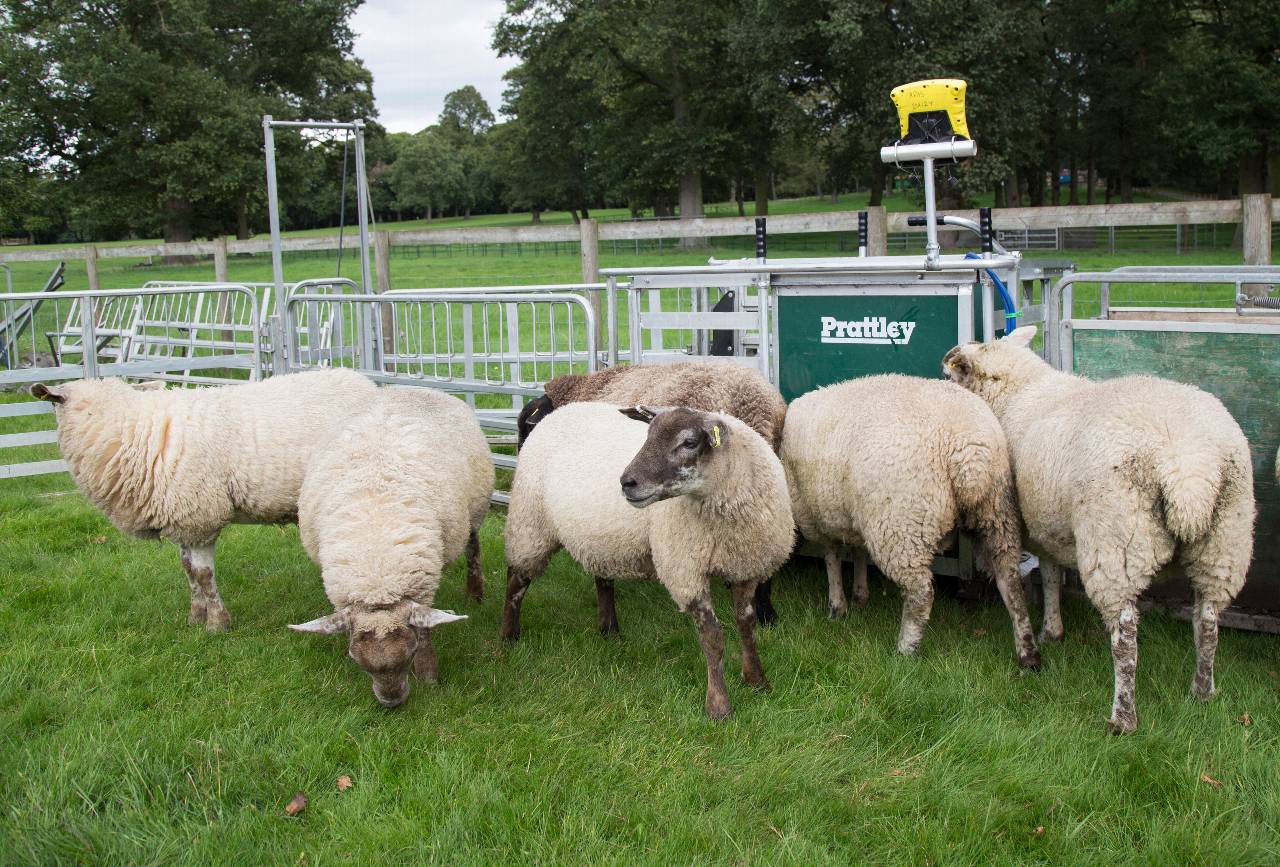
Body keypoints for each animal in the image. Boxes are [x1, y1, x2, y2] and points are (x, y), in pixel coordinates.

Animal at [29, 370, 378, 631]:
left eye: (56, 403)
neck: (132, 428)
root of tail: (365, 383)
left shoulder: (199, 515)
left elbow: (202, 575)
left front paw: (217, 624)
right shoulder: (181, 518)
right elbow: (187, 570)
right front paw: (195, 618)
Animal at [288, 387, 494, 708]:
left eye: (410, 653)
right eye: (354, 660)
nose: (392, 703)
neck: (377, 564)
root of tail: (410, 386)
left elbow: (425, 629)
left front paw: (429, 676)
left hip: (475, 511)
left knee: (473, 547)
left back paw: (474, 591)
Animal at [502, 401, 795, 720]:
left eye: (689, 442)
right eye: (648, 434)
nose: (626, 482)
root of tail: (560, 411)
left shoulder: (745, 567)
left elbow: (747, 626)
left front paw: (757, 680)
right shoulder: (685, 570)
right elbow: (713, 638)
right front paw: (719, 705)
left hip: (600, 538)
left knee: (602, 579)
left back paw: (610, 632)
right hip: (529, 524)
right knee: (515, 581)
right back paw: (508, 637)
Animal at [782, 375, 1040, 670]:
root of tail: (968, 449)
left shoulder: (818, 517)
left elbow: (832, 559)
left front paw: (838, 606)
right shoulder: (853, 515)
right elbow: (858, 552)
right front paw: (860, 594)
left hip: (902, 523)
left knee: (921, 592)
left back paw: (906, 649)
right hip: (997, 512)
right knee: (1010, 582)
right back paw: (1028, 653)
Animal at [943, 326, 1255, 734]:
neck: (1018, 392)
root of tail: (1188, 469)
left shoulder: (1009, 516)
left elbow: (1013, 588)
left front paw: (1030, 651)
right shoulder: (1048, 526)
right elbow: (1050, 576)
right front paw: (1053, 631)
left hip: (1115, 539)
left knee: (1125, 634)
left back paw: (1123, 717)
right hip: (1225, 539)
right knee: (1207, 618)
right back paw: (1202, 691)